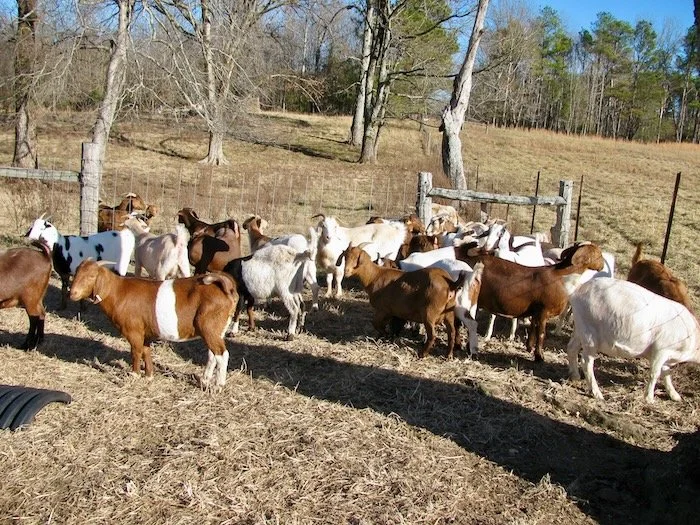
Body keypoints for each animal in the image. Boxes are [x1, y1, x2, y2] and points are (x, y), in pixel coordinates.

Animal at [69, 260, 238, 389]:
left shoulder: (133, 331)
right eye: (76, 273)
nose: (72, 293)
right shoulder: (146, 333)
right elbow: (146, 351)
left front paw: (134, 375)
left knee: (222, 354)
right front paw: (149, 376)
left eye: (91, 276)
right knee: (213, 354)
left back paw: (218, 385)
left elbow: (136, 351)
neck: (117, 292)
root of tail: (226, 287)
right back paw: (205, 380)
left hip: (208, 327)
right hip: (218, 330)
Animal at [337, 245, 483, 359]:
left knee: (440, 333)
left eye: (357, 258)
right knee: (452, 331)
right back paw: (450, 354)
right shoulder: (392, 311)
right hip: (453, 312)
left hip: (434, 313)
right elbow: (388, 324)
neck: (376, 275)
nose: (346, 272)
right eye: (345, 257)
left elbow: (378, 324)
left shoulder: (383, 309)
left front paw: (386, 336)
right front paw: (385, 337)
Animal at [466, 242, 605, 362]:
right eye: (598, 254)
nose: (602, 265)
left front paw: (529, 347)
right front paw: (539, 356)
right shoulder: (544, 310)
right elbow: (541, 333)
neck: (562, 278)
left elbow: (533, 327)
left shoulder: (536, 310)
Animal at [567, 278, 700, 402]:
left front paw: (674, 395)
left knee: (572, 348)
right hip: (590, 334)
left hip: (580, 327)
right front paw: (649, 398)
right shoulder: (661, 349)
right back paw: (597, 393)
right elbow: (655, 373)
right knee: (586, 362)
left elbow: (666, 374)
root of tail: (577, 290)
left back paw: (575, 376)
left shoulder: (668, 357)